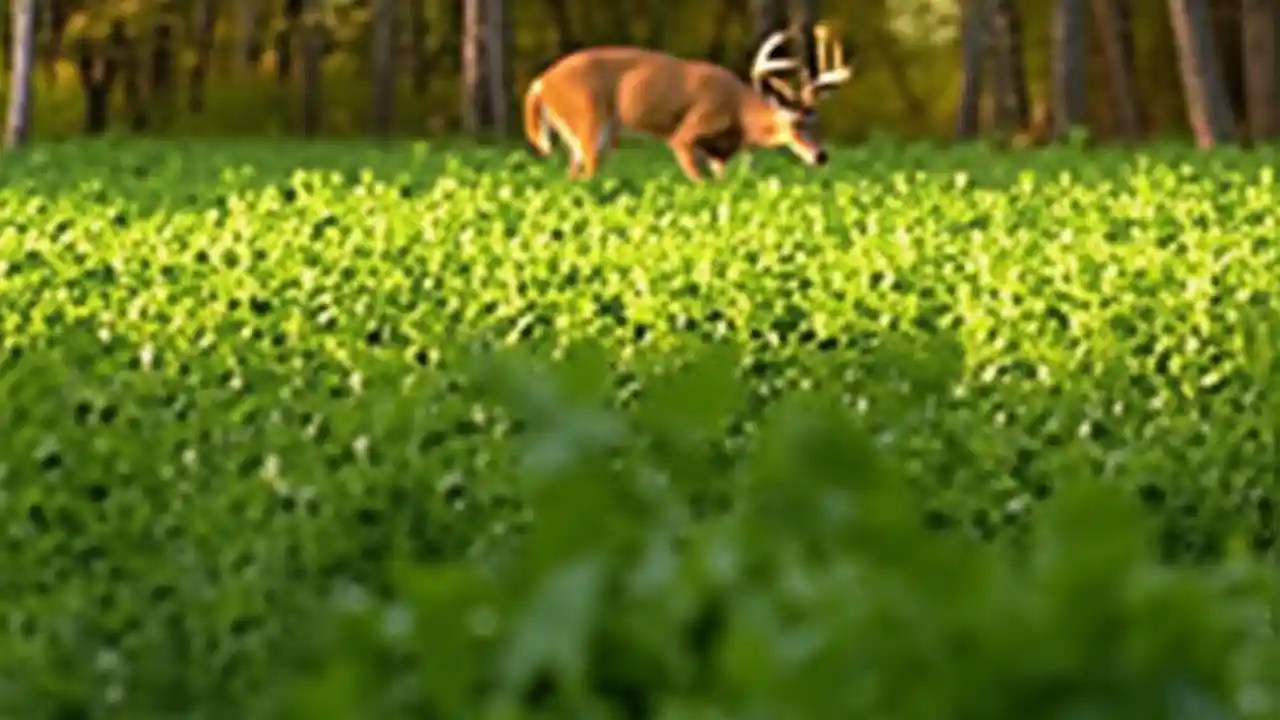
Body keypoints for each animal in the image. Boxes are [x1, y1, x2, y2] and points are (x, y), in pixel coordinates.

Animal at [522, 24, 854, 182]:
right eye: (794, 122)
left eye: (818, 121)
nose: (821, 156)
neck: (739, 113)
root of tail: (541, 83)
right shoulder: (686, 134)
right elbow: (699, 181)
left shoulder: (720, 155)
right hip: (589, 124)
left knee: (572, 177)